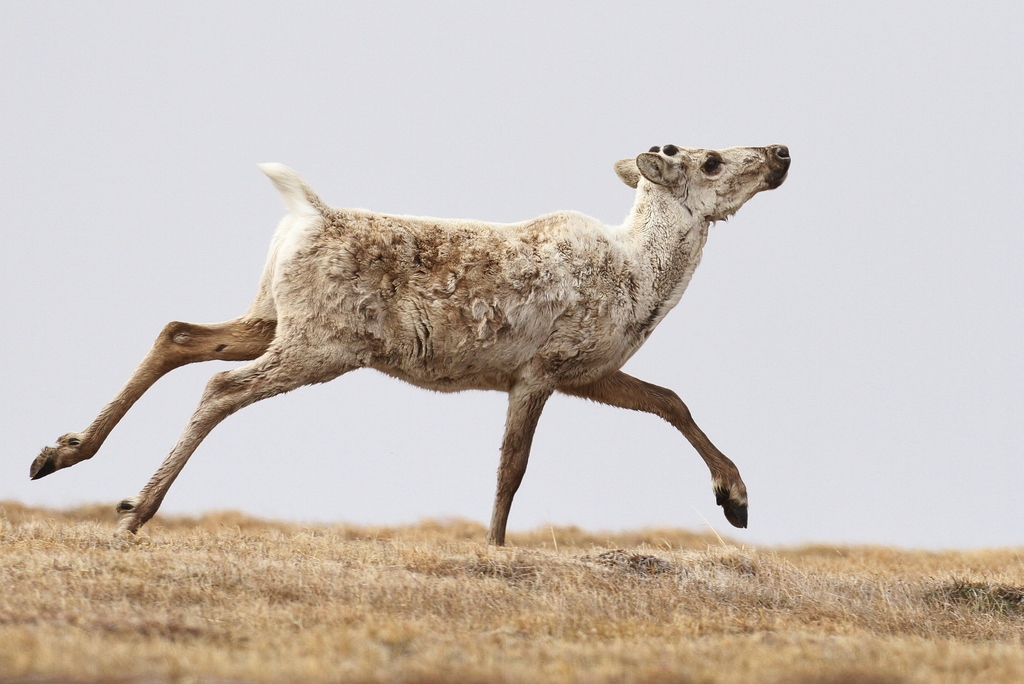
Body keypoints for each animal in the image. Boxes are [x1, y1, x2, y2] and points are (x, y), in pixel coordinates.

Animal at [30, 143, 790, 545]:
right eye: (712, 160)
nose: (780, 151)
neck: (644, 277)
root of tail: (307, 214)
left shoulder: (591, 372)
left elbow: (672, 400)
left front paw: (736, 499)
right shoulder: (541, 371)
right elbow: (512, 467)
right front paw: (494, 548)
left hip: (271, 319)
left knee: (178, 334)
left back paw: (61, 452)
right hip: (320, 346)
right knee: (219, 386)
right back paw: (134, 509)